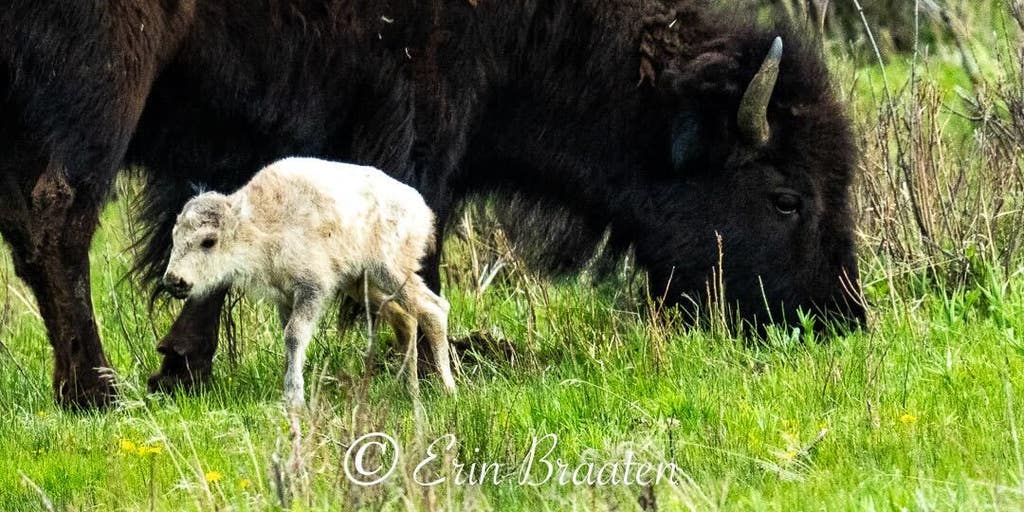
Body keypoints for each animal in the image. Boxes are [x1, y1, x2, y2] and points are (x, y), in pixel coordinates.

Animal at [0, 0, 863, 409]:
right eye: (787, 198)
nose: (840, 317)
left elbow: (217, 244)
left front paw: (183, 366)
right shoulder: (424, 108)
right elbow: (419, 243)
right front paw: (438, 363)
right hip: (101, 84)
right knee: (57, 217)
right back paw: (94, 392)